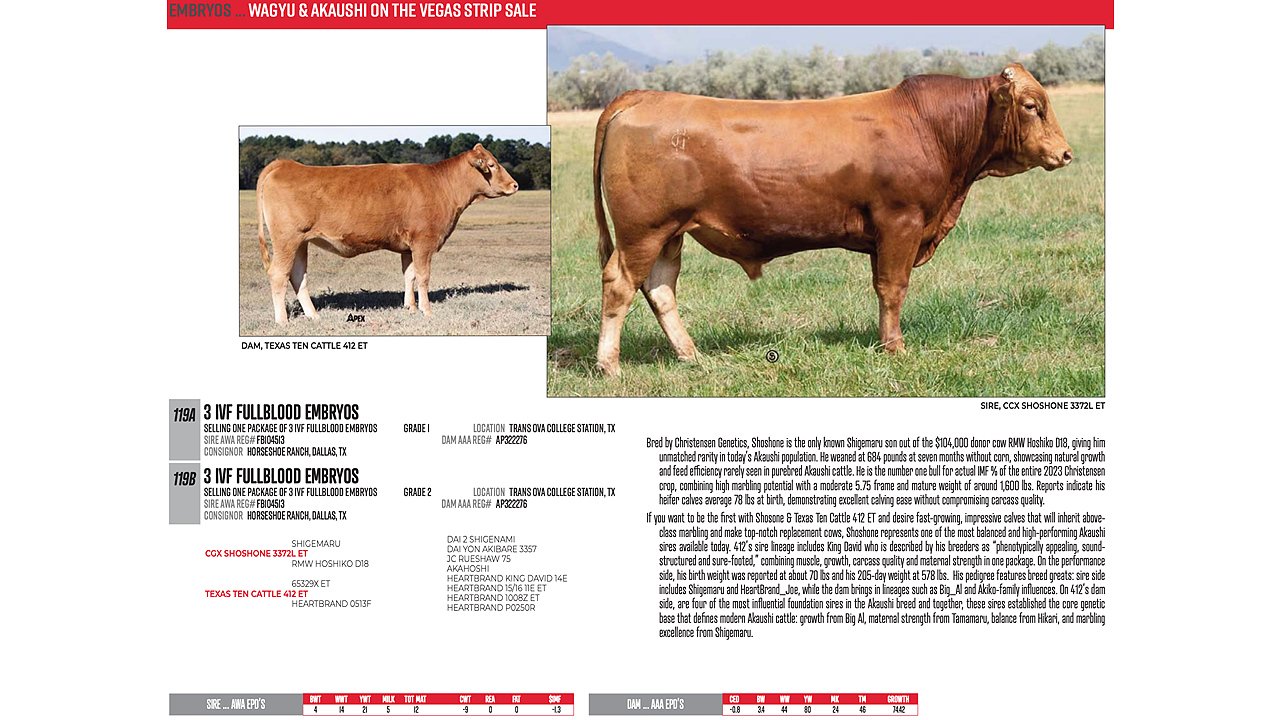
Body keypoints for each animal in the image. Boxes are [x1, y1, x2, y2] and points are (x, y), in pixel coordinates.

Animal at [256, 143, 519, 324]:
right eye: (492, 165)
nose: (515, 185)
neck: (442, 186)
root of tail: (285, 164)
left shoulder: (408, 247)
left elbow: (409, 275)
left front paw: (410, 308)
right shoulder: (424, 242)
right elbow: (423, 277)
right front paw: (426, 310)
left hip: (301, 242)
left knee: (297, 276)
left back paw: (313, 316)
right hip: (287, 240)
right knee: (278, 275)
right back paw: (282, 320)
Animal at [591, 64, 1073, 376]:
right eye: (1032, 105)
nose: (1065, 153)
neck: (929, 128)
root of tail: (645, 95)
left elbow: (883, 288)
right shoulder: (901, 222)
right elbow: (892, 288)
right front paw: (894, 348)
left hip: (668, 234)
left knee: (660, 289)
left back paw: (690, 356)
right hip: (642, 232)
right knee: (621, 285)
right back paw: (609, 365)